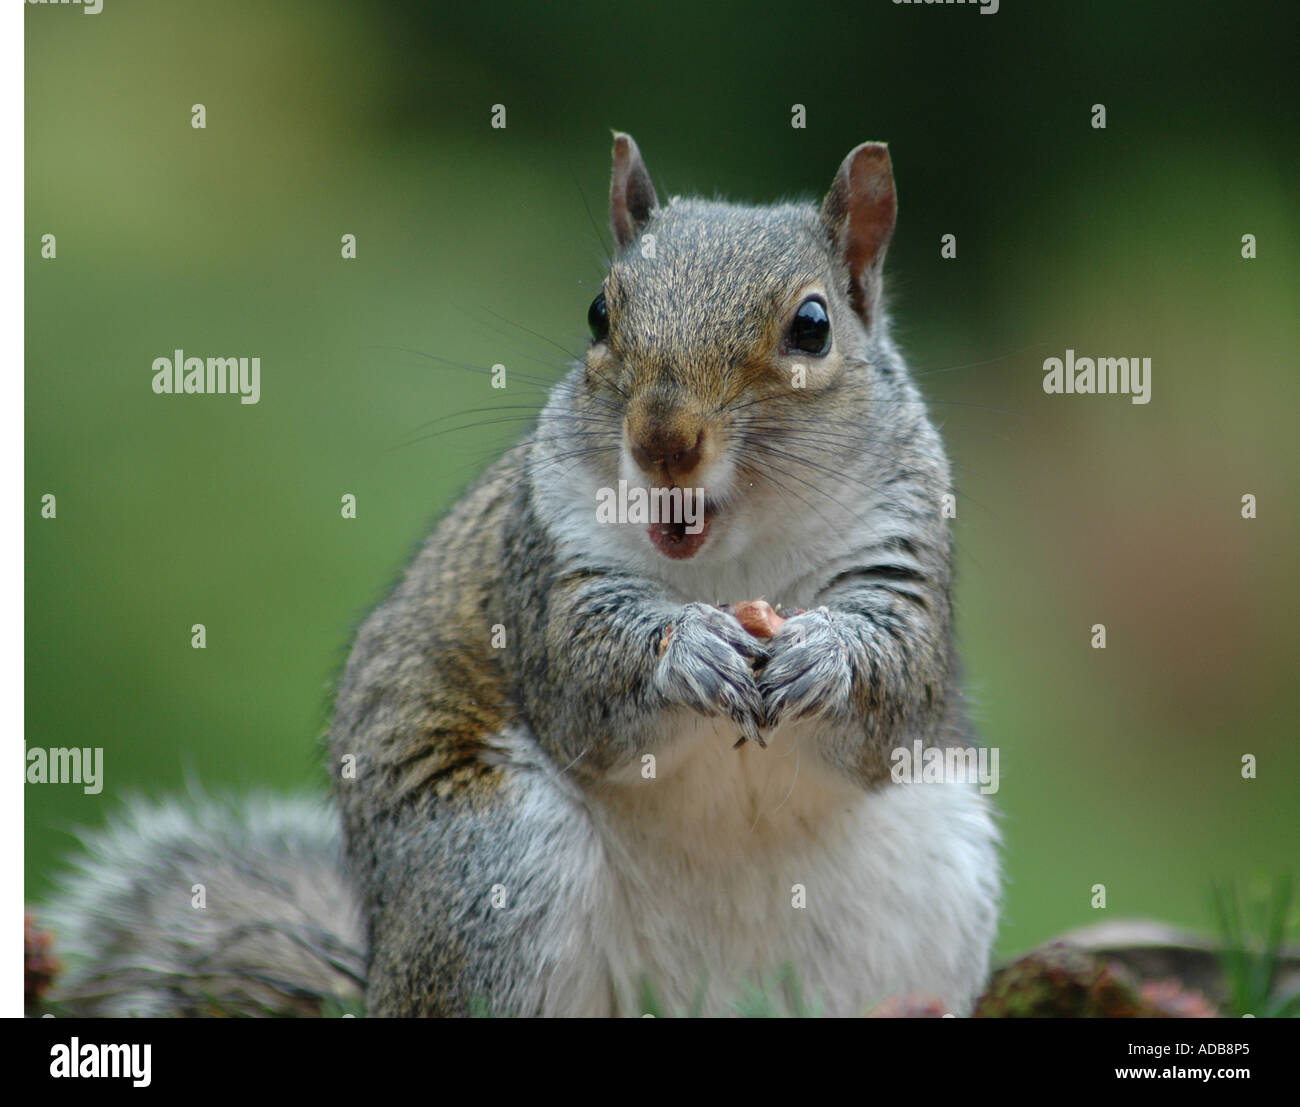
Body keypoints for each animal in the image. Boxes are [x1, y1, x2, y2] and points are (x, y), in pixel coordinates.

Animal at [40, 133, 1000, 1018]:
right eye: (599, 313)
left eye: (813, 326)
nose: (663, 441)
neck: (733, 556)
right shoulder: (548, 563)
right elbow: (578, 676)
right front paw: (686, 650)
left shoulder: (905, 550)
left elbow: (898, 684)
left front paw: (821, 656)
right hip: (490, 865)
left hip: (940, 878)